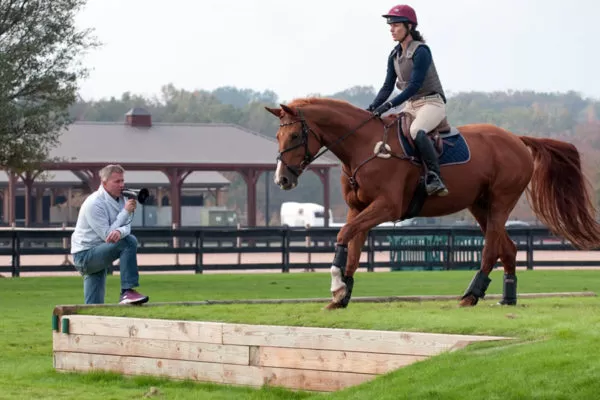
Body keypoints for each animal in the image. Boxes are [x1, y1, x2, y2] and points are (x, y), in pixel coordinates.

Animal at [264, 97, 600, 310]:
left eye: (294, 135)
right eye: (278, 136)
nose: (282, 179)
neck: (364, 148)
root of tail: (516, 139)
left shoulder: (386, 207)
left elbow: (343, 235)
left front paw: (336, 287)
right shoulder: (357, 209)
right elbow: (353, 248)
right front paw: (342, 295)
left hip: (500, 202)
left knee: (491, 248)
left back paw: (471, 295)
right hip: (480, 206)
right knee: (509, 248)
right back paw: (507, 297)